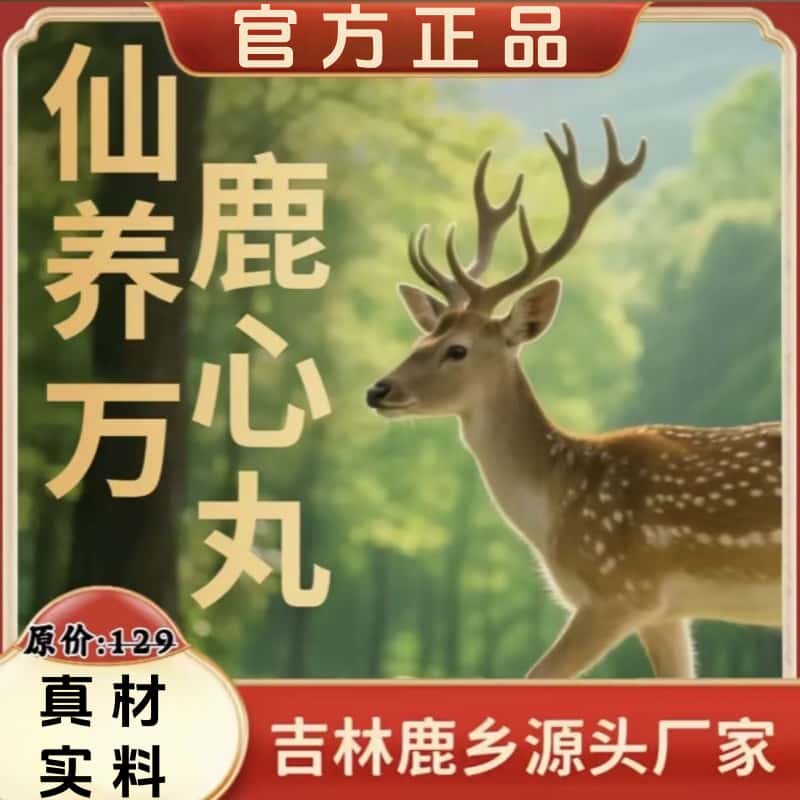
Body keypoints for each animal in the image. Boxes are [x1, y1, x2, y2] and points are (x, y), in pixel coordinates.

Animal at [366, 117, 782, 679]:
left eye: (458, 349)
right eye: (419, 340)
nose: (378, 389)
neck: (556, 512)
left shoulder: (620, 591)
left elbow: (535, 675)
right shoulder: (665, 611)